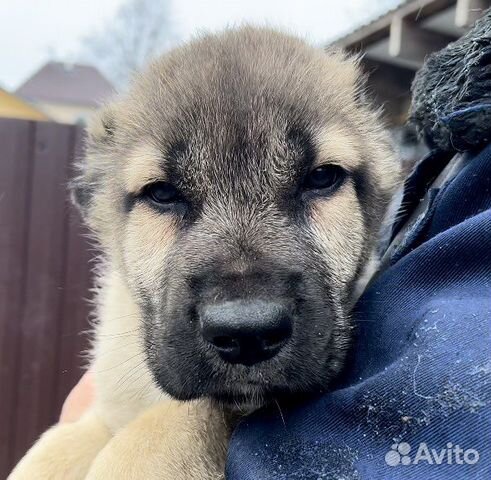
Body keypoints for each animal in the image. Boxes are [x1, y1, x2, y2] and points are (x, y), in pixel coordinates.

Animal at [8, 28, 400, 478]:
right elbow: (55, 446)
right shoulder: (105, 411)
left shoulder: (196, 416)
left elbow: (146, 440)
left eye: (321, 178)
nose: (248, 334)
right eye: (162, 194)